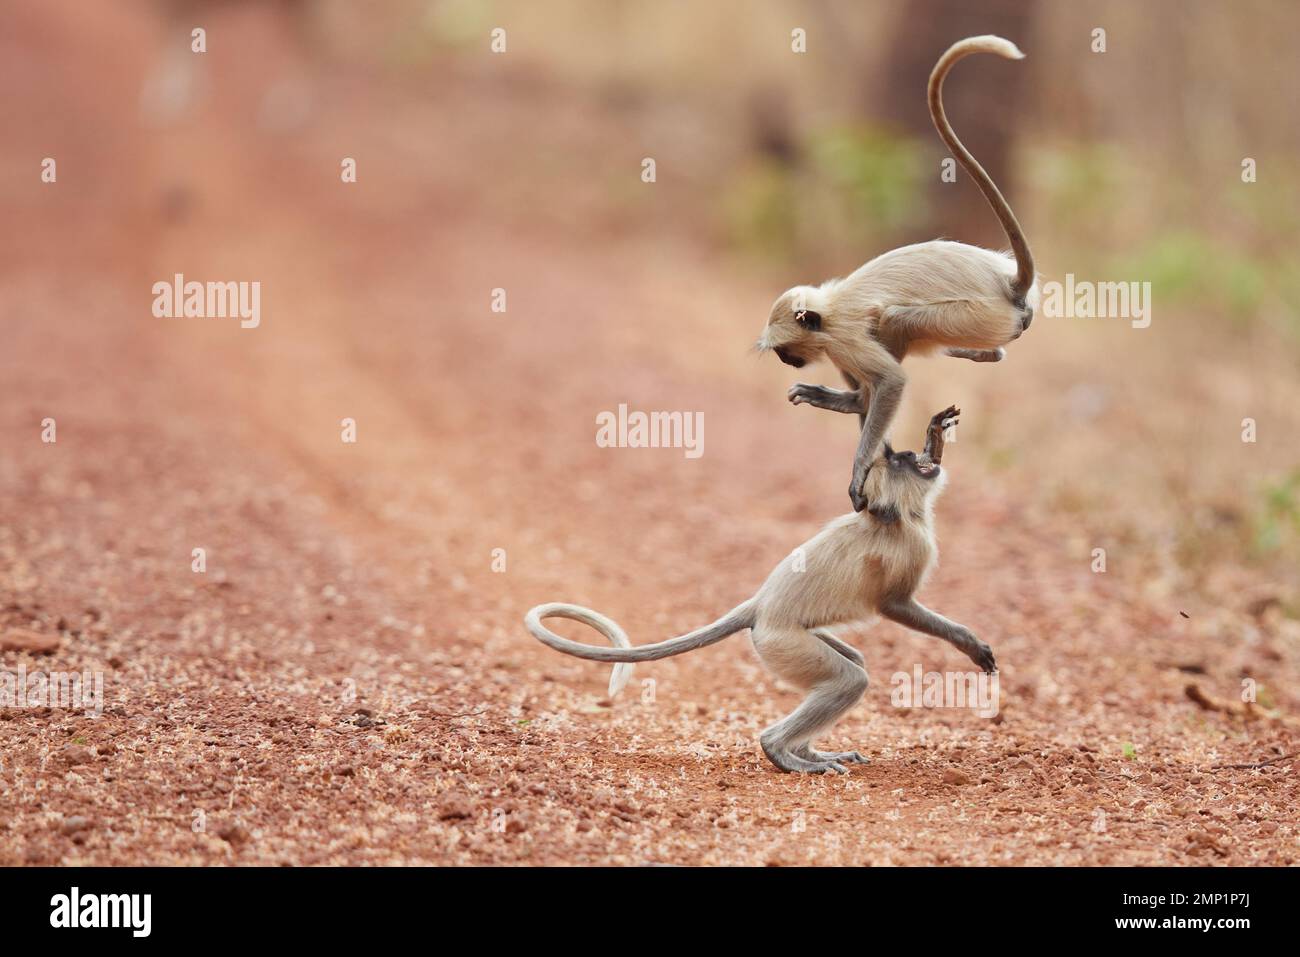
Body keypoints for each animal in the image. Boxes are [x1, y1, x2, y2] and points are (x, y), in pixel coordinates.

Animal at [524, 406, 995, 775]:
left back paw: (808, 752)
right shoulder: (909, 552)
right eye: (898, 463)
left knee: (850, 665)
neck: (893, 517)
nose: (914, 455)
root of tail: (760, 604)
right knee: (849, 679)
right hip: (780, 643)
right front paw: (970, 644)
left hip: (782, 643)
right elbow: (894, 604)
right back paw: (781, 752)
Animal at [756, 35, 1039, 514]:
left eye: (782, 350)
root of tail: (1008, 283)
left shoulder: (842, 337)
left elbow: (891, 381)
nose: (784, 359)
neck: (828, 310)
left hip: (976, 317)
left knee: (894, 321)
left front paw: (860, 468)